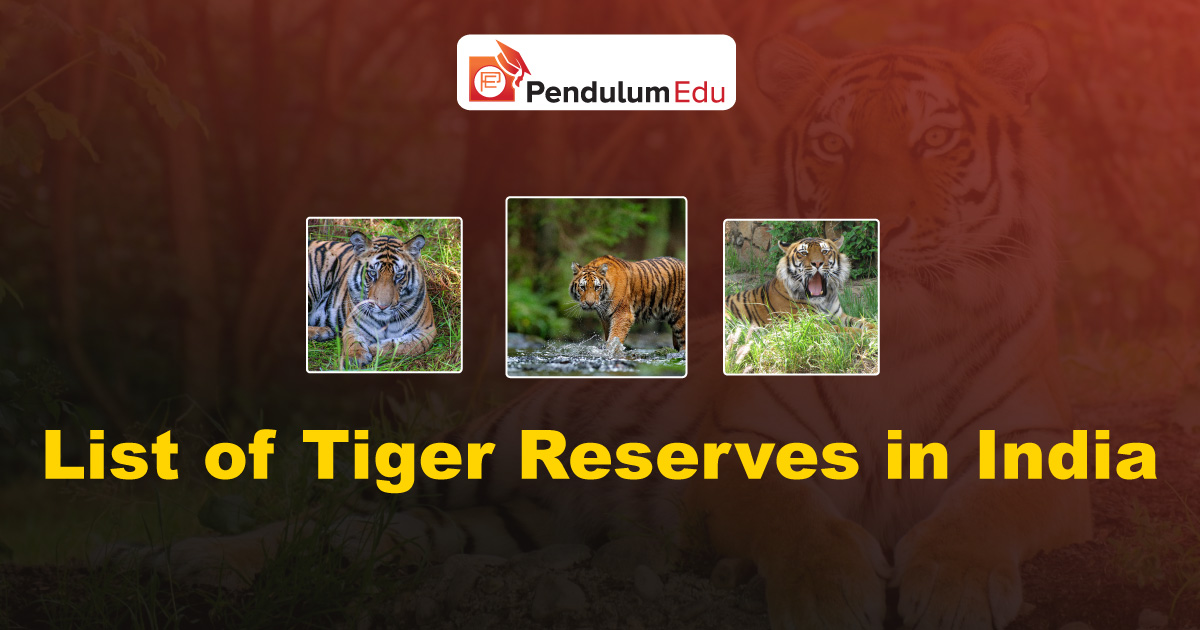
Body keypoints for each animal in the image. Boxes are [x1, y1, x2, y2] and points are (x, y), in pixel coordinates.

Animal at [306, 231, 436, 367]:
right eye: (373, 273)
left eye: (398, 276)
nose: (383, 306)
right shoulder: (352, 326)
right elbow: (353, 341)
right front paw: (356, 357)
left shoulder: (426, 332)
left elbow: (403, 346)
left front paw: (375, 349)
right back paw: (321, 332)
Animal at [725, 234, 873, 330]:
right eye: (804, 253)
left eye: (825, 251)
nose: (817, 263)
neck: (824, 300)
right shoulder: (811, 323)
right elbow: (846, 330)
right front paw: (867, 336)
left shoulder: (839, 317)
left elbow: (864, 322)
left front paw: (873, 328)